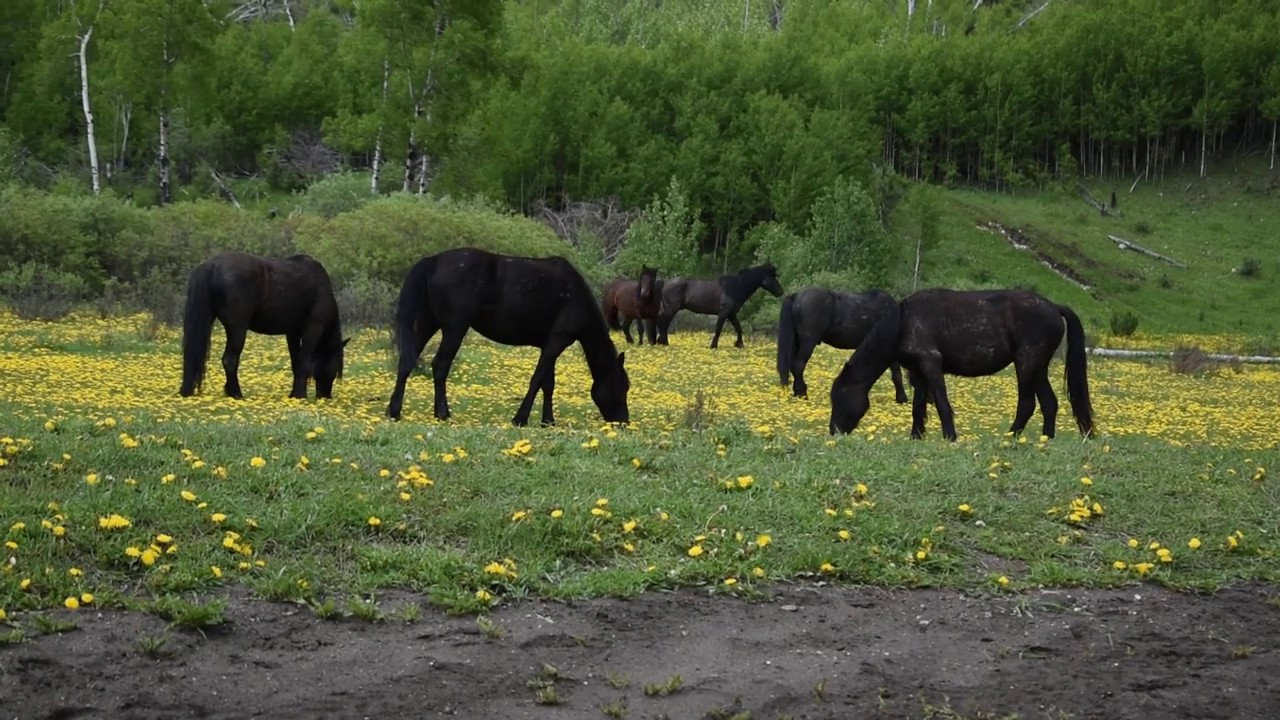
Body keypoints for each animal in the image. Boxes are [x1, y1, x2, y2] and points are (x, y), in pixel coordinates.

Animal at [179, 252, 348, 400]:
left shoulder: (292, 332)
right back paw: (236, 394)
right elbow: (305, 362)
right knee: (230, 360)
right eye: (336, 367)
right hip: (237, 329)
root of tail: (212, 265)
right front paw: (300, 395)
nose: (325, 396)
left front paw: (293, 394)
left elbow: (296, 362)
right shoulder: (312, 329)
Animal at [386, 247, 630, 426]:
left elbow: (548, 383)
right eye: (624, 386)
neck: (576, 298)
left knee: (407, 361)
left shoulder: (549, 345)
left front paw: (548, 421)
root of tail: (434, 261)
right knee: (440, 365)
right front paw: (520, 418)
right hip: (454, 328)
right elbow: (537, 380)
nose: (623, 422)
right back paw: (442, 413)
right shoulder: (556, 343)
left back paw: (394, 410)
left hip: (428, 324)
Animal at [656, 263, 785, 348]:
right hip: (671, 309)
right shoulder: (724, 312)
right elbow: (718, 329)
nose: (781, 292)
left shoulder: (731, 314)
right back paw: (663, 342)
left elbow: (738, 328)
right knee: (663, 323)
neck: (735, 286)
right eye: (772, 277)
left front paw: (739, 344)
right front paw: (713, 346)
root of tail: (665, 282)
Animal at [777, 287, 909, 403]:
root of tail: (796, 296)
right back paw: (802, 394)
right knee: (798, 366)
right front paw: (902, 398)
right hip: (808, 343)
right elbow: (896, 374)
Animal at [829, 289, 1094, 441]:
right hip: (1037, 368)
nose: (834, 432)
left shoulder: (931, 363)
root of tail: (1054, 307)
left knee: (1027, 403)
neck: (903, 322)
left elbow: (941, 403)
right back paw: (1046, 439)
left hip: (1027, 364)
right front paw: (916, 435)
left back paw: (1011, 436)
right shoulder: (918, 371)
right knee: (1049, 403)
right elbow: (918, 407)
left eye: (840, 396)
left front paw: (950, 436)